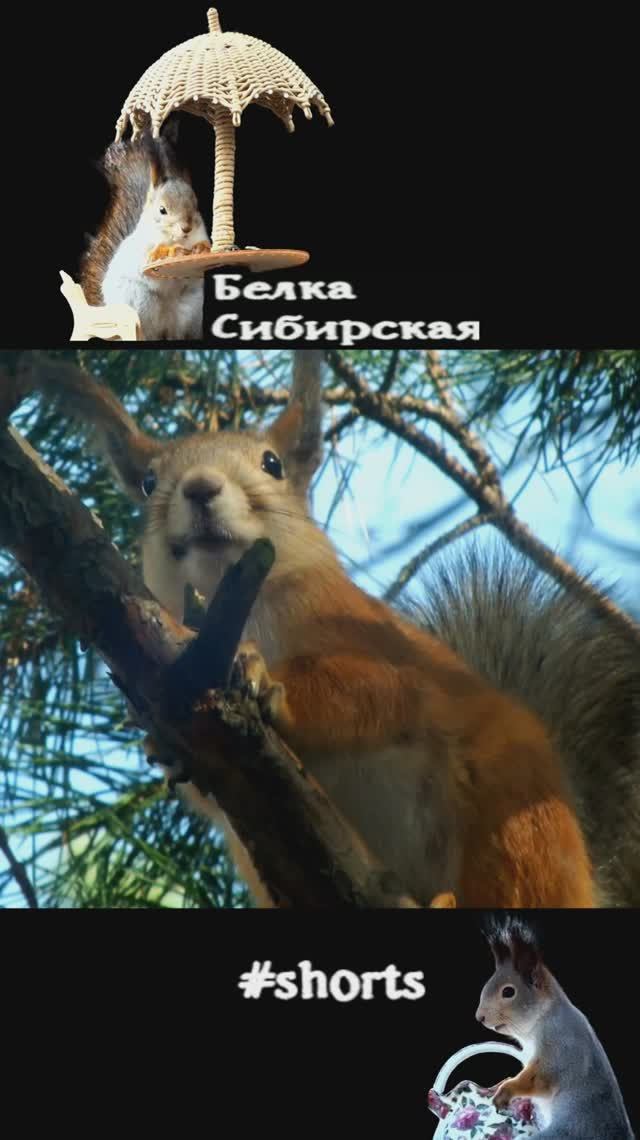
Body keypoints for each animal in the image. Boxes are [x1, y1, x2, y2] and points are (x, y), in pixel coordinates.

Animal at [23, 351, 640, 908]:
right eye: (150, 482)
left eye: (272, 463)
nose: (199, 486)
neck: (237, 606)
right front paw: (164, 746)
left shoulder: (370, 638)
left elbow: (373, 692)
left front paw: (269, 682)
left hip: (517, 824)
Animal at [81, 125, 210, 341]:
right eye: (162, 210)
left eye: (196, 206)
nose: (186, 228)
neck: (178, 239)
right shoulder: (142, 250)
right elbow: (150, 258)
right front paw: (171, 252)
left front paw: (200, 249)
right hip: (139, 305)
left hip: (189, 310)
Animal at [476, 917, 634, 1138]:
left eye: (508, 992)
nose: (479, 1017)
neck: (542, 1018)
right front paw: (499, 1084)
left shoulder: (560, 1045)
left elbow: (540, 1078)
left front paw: (507, 1089)